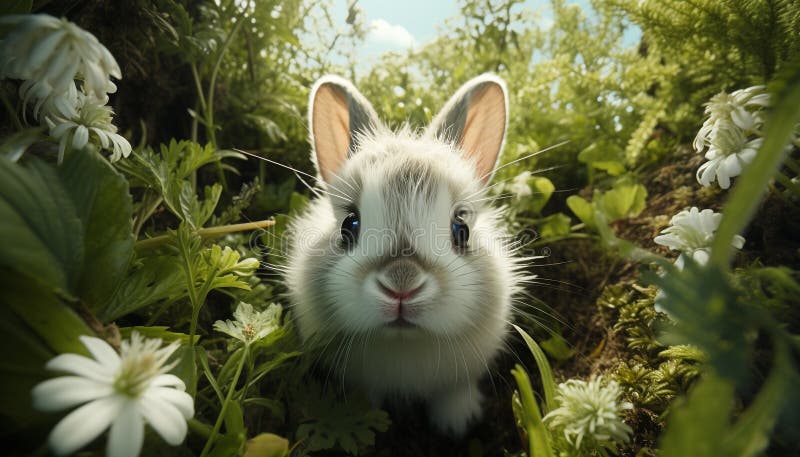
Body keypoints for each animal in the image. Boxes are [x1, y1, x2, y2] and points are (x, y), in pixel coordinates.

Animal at [284, 73, 526, 435]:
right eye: (349, 224)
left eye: (461, 230)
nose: (402, 284)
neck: (403, 342)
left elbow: (455, 391)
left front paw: (457, 424)